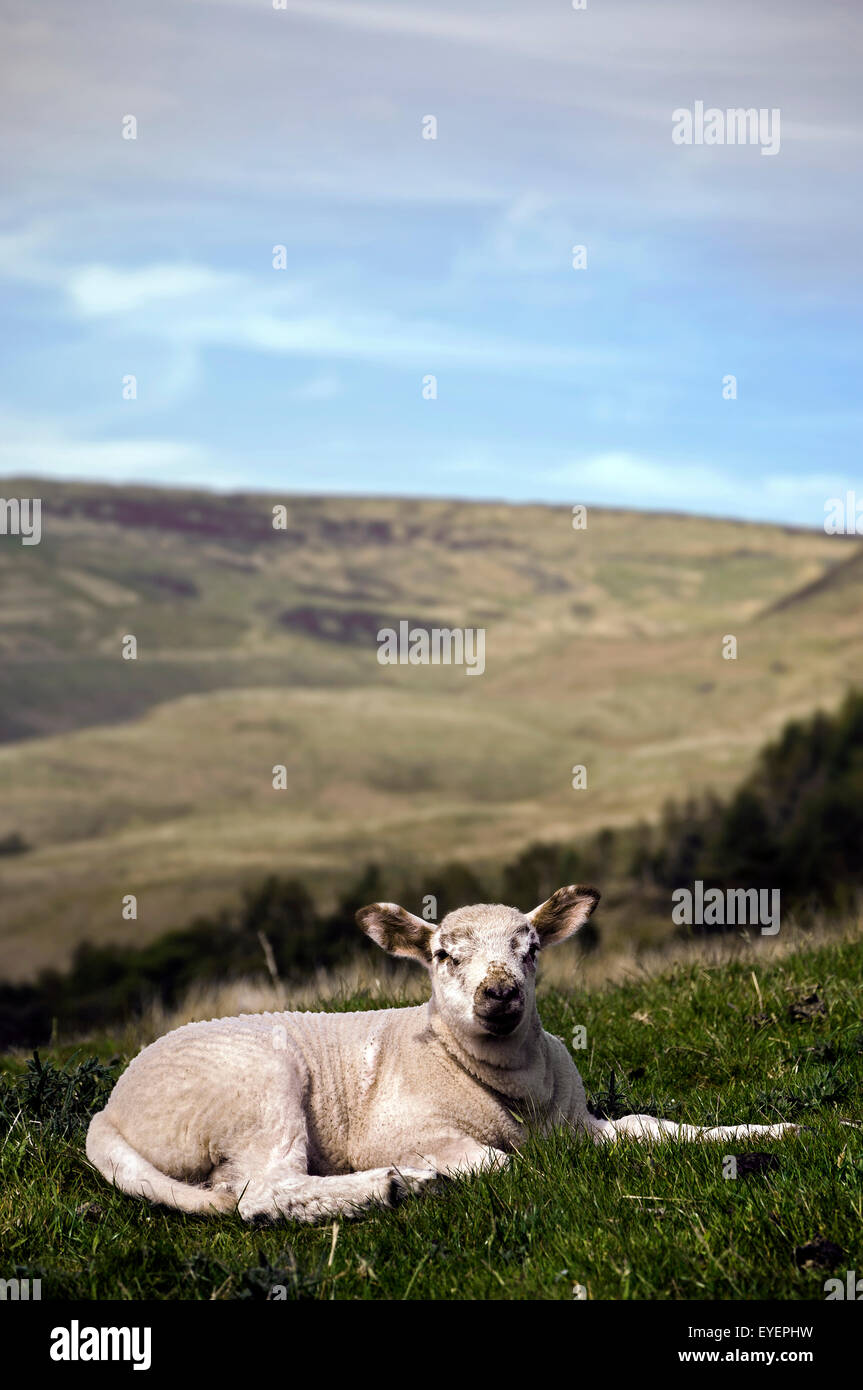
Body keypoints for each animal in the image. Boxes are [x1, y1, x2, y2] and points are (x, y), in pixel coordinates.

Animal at [86, 885, 797, 1221]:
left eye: (530, 948)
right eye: (443, 955)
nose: (500, 992)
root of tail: (108, 1113)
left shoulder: (582, 1126)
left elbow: (655, 1127)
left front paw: (766, 1132)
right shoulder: (396, 1130)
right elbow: (498, 1161)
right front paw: (435, 1172)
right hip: (259, 1090)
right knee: (261, 1194)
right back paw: (398, 1186)